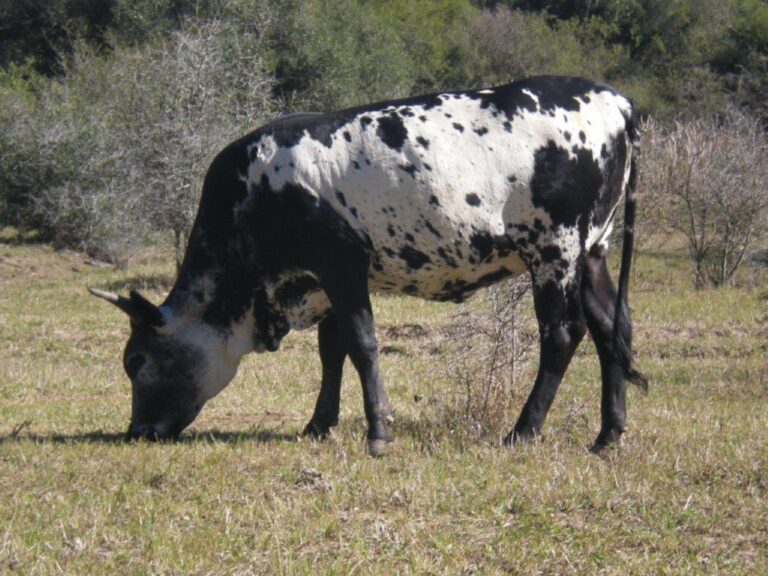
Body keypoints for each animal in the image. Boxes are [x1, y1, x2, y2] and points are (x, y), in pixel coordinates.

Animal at [90, 76, 647, 456]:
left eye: (135, 360)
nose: (137, 432)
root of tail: (614, 101)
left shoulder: (340, 266)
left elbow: (361, 345)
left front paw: (378, 432)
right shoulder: (323, 283)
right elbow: (332, 349)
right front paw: (319, 423)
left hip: (556, 250)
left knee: (563, 333)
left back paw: (523, 430)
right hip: (593, 251)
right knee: (612, 328)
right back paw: (608, 434)